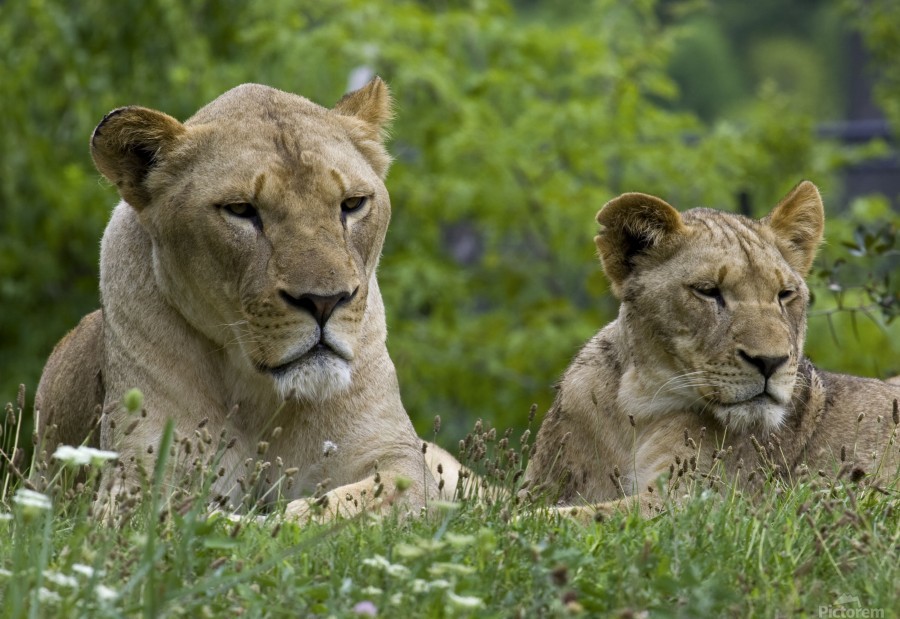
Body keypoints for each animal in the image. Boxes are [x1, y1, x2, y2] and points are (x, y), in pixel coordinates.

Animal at [35, 79, 462, 520]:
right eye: (241, 210)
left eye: (353, 204)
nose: (325, 302)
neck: (259, 394)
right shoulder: (131, 485)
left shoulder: (400, 461)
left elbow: (334, 507)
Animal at [523, 181, 900, 521]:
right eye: (707, 291)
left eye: (785, 294)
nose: (771, 362)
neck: (634, 405)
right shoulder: (542, 483)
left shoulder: (695, 502)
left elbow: (566, 517)